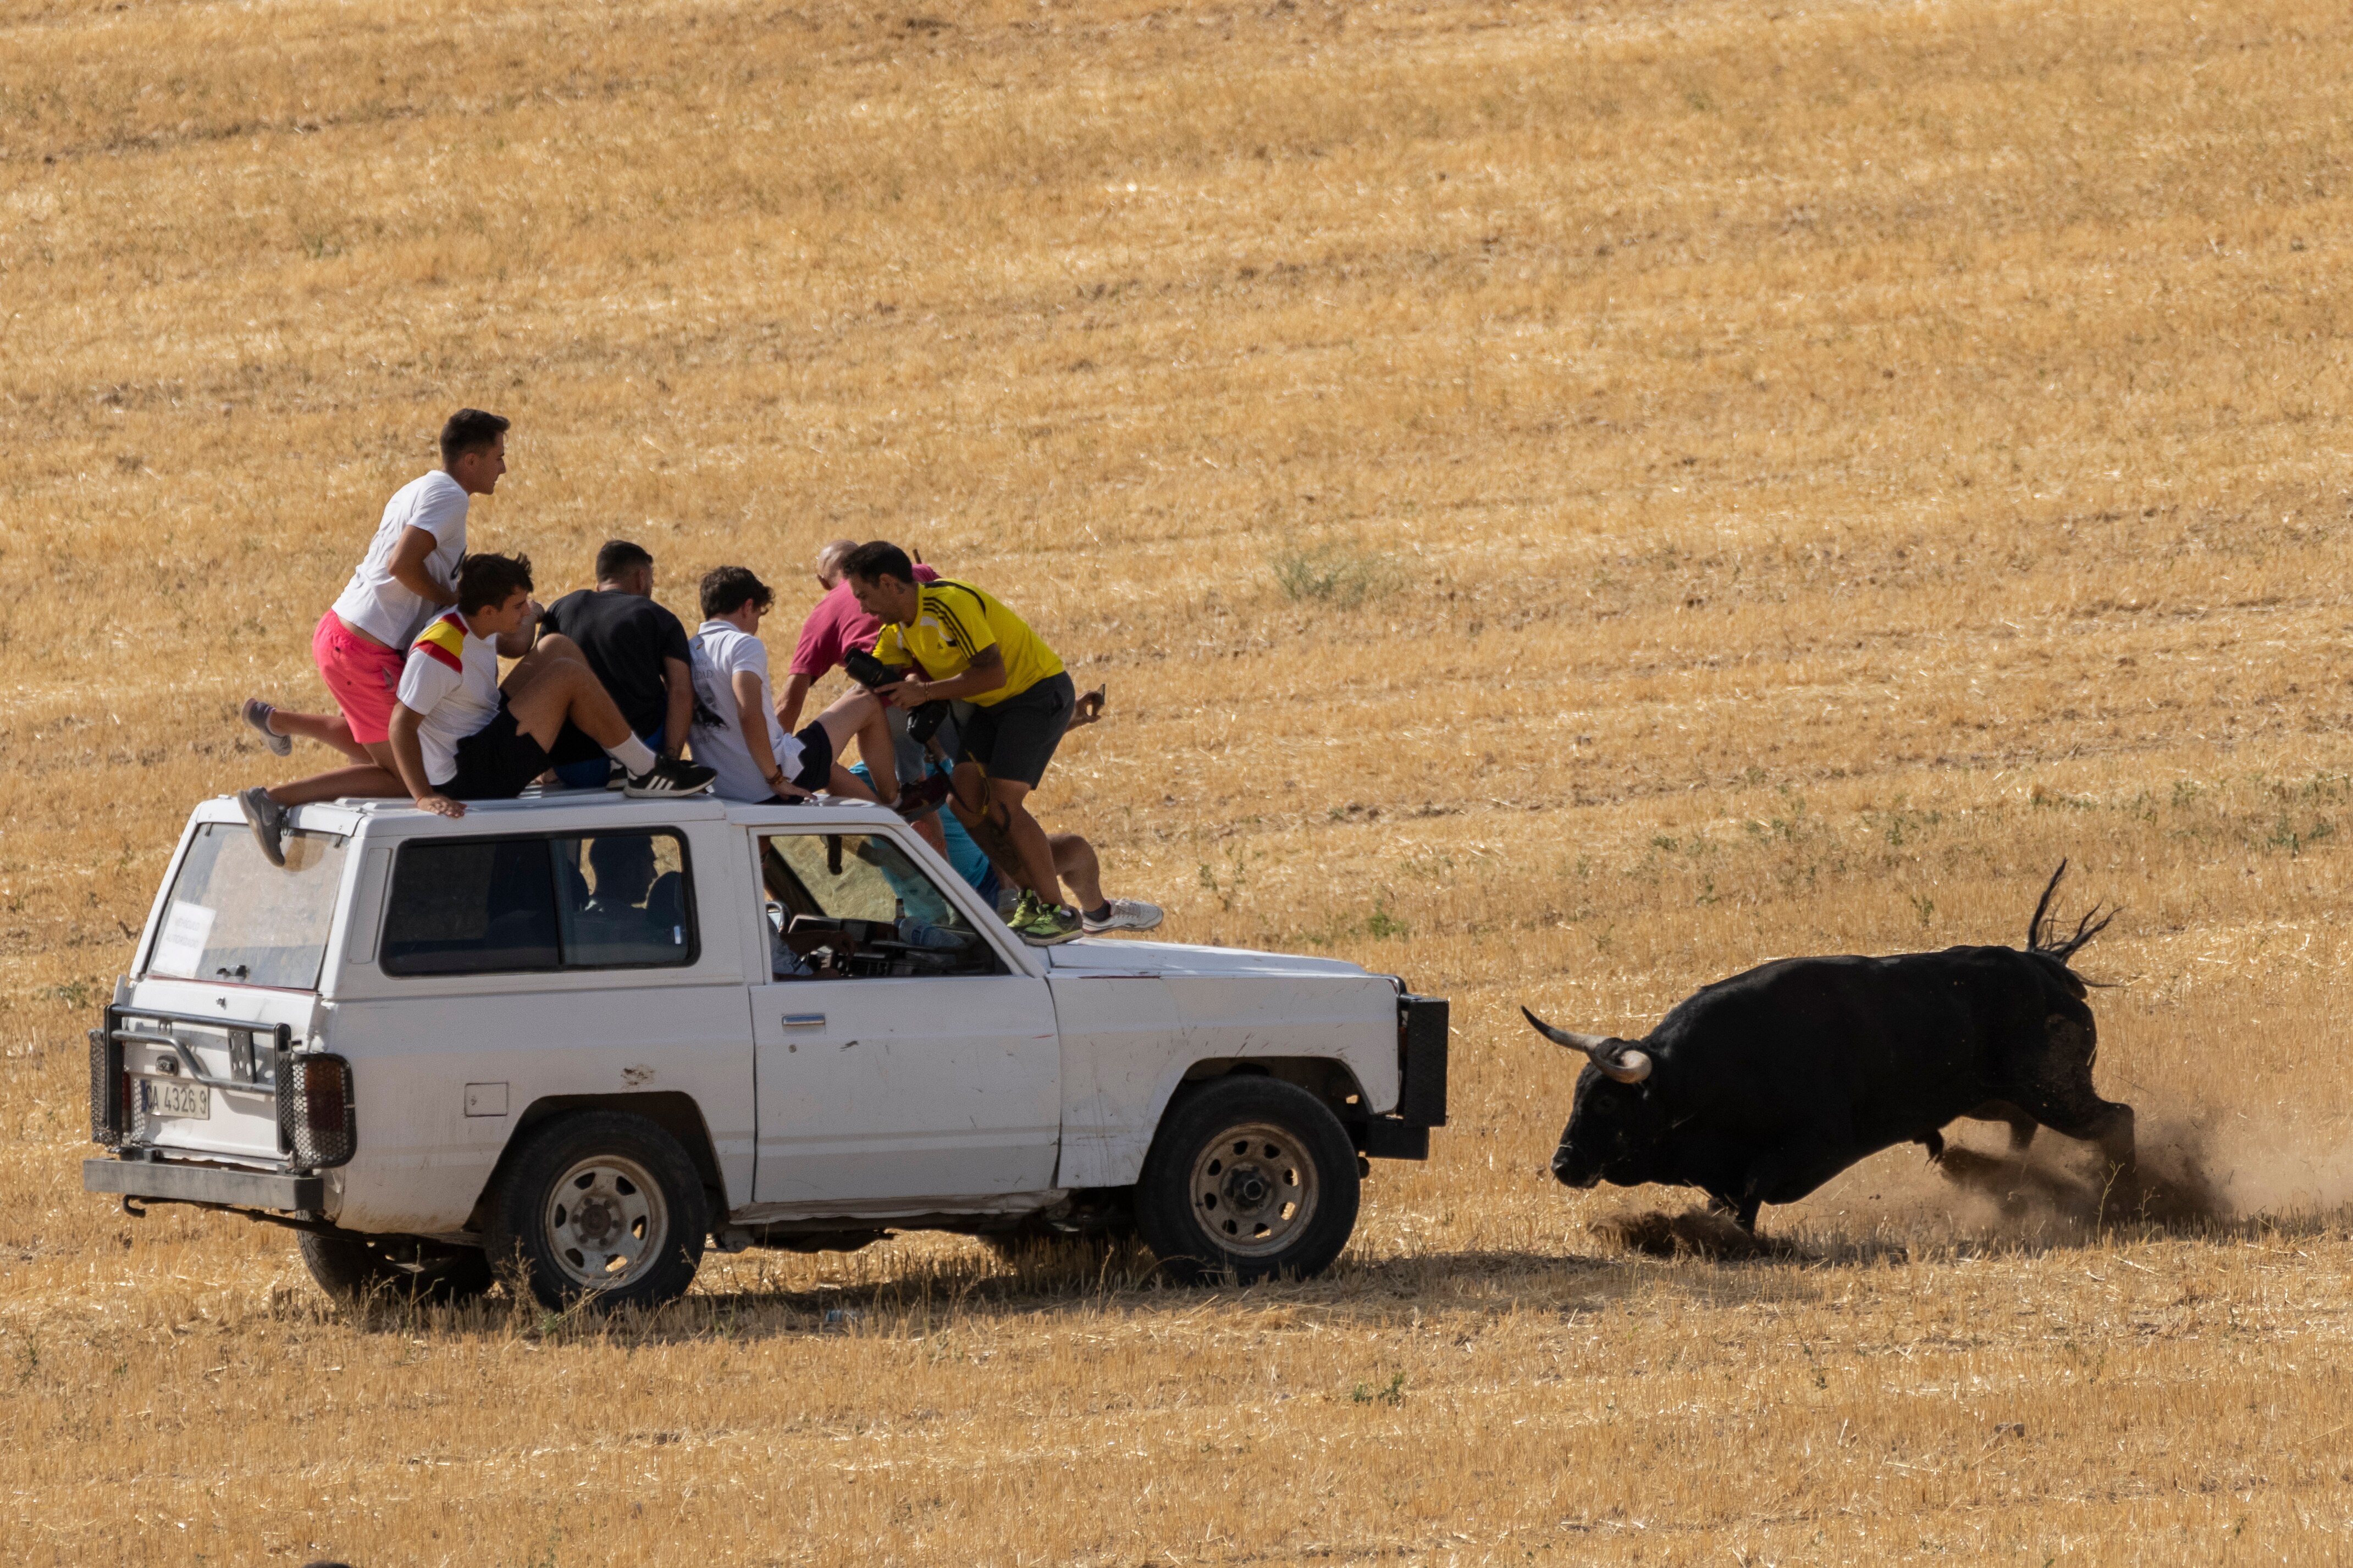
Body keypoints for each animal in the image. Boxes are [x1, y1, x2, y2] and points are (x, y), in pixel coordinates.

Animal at [1523, 864, 2130, 1232]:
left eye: (1606, 1101)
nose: (1563, 1164)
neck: (1697, 1076)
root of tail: (2043, 967)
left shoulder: (1821, 1142)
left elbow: (1754, 1187)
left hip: (2053, 1090)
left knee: (2117, 1118)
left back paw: (2119, 1198)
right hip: (2005, 1098)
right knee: (2024, 1132)